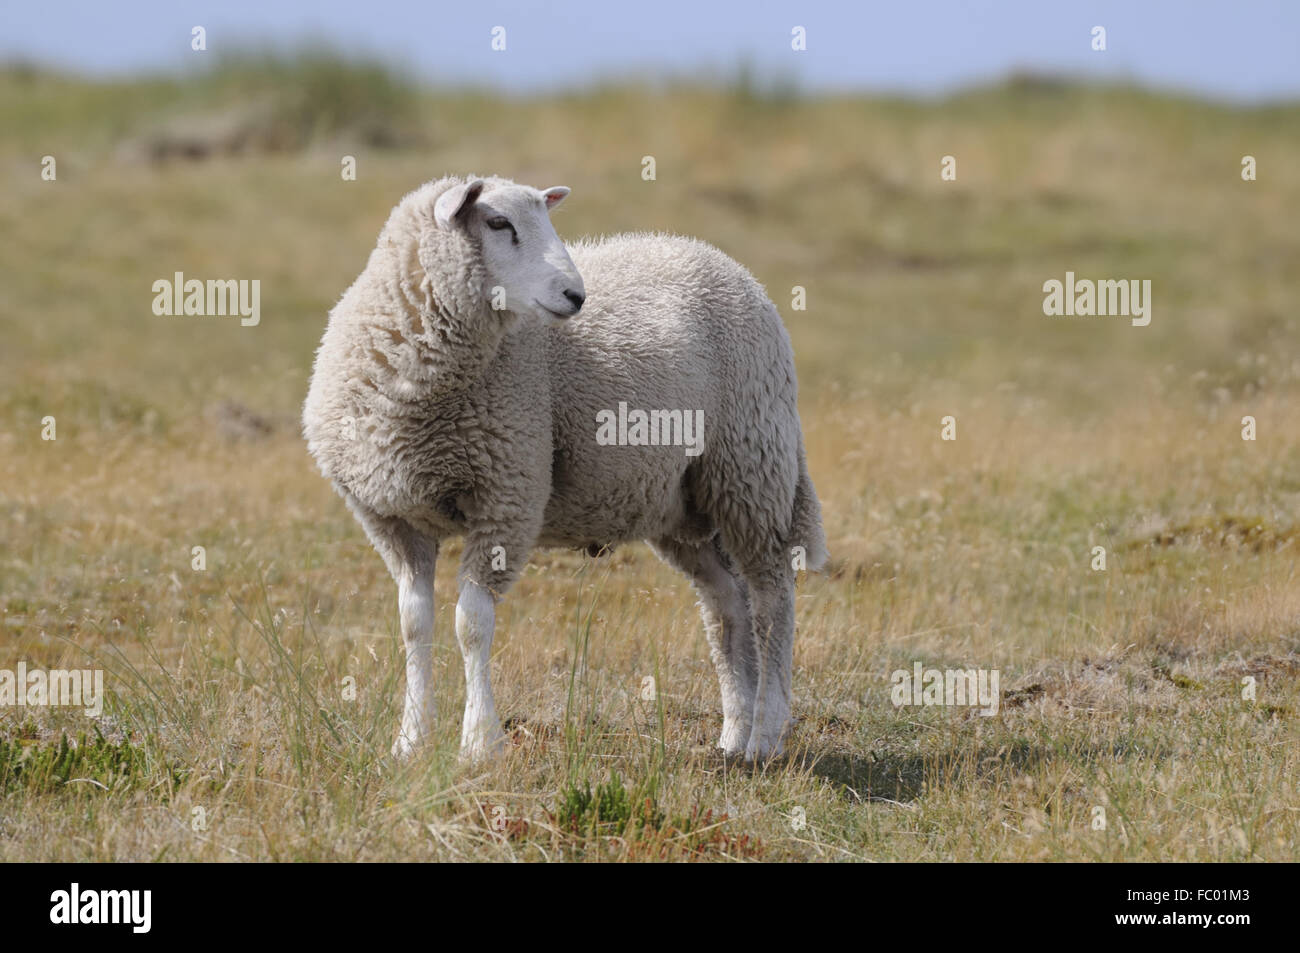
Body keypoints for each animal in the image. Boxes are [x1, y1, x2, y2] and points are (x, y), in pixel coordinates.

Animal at [302, 174, 827, 763]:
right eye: (497, 223)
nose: (576, 295)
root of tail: (718, 258)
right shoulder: (391, 519)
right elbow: (414, 624)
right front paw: (411, 741)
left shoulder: (507, 497)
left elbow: (471, 625)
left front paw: (480, 742)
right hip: (681, 502)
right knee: (726, 605)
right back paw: (735, 736)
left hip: (753, 468)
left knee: (772, 597)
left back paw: (768, 731)